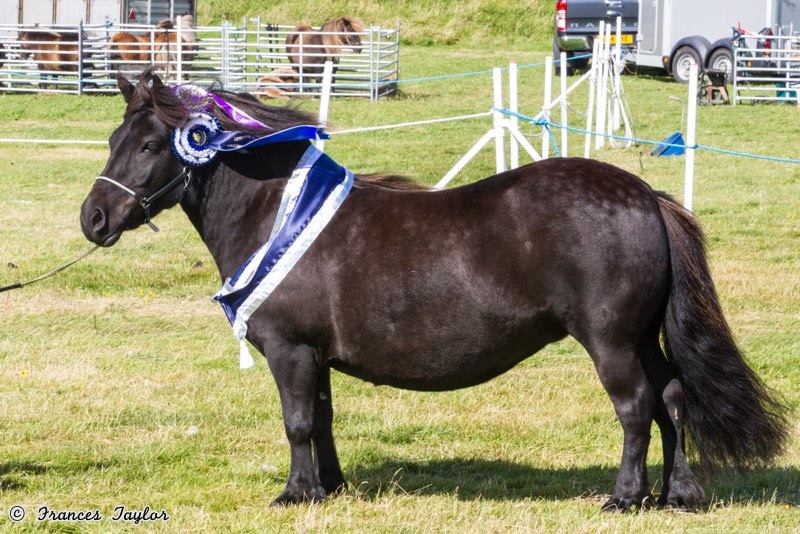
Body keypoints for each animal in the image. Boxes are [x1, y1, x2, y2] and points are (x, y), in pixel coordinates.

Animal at [79, 70, 788, 510]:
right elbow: (323, 419)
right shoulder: (316, 358)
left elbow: (298, 421)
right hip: (641, 337)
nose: (94, 219)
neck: (278, 212)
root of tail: (642, 194)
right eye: (114, 138)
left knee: (637, 407)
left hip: (611, 342)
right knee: (672, 397)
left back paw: (625, 496)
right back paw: (680, 495)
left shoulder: (290, 350)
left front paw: (296, 493)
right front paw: (331, 487)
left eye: (151, 144)